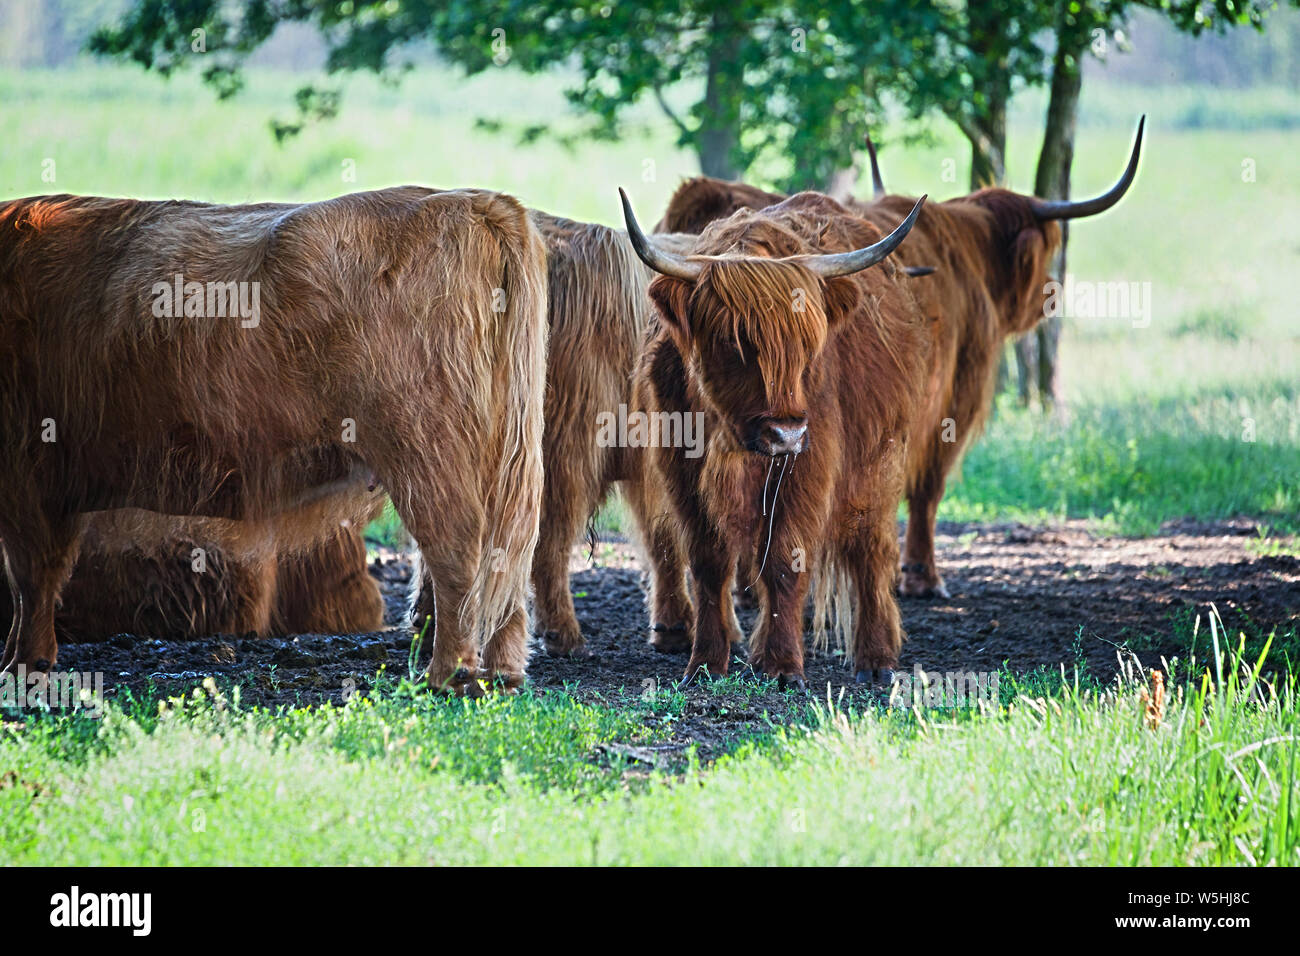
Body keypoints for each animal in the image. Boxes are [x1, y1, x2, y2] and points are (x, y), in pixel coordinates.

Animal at [0, 186, 547, 694]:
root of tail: (471, 200)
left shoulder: (27, 468)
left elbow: (32, 575)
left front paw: (24, 664)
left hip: (423, 447)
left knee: (457, 549)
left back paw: (446, 675)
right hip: (500, 457)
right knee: (505, 556)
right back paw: (503, 672)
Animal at [623, 187, 930, 688]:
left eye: (809, 346)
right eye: (732, 342)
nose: (786, 431)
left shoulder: (807, 467)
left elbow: (786, 560)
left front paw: (784, 665)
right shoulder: (681, 474)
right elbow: (708, 563)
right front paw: (705, 662)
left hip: (877, 461)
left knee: (872, 549)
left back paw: (877, 658)